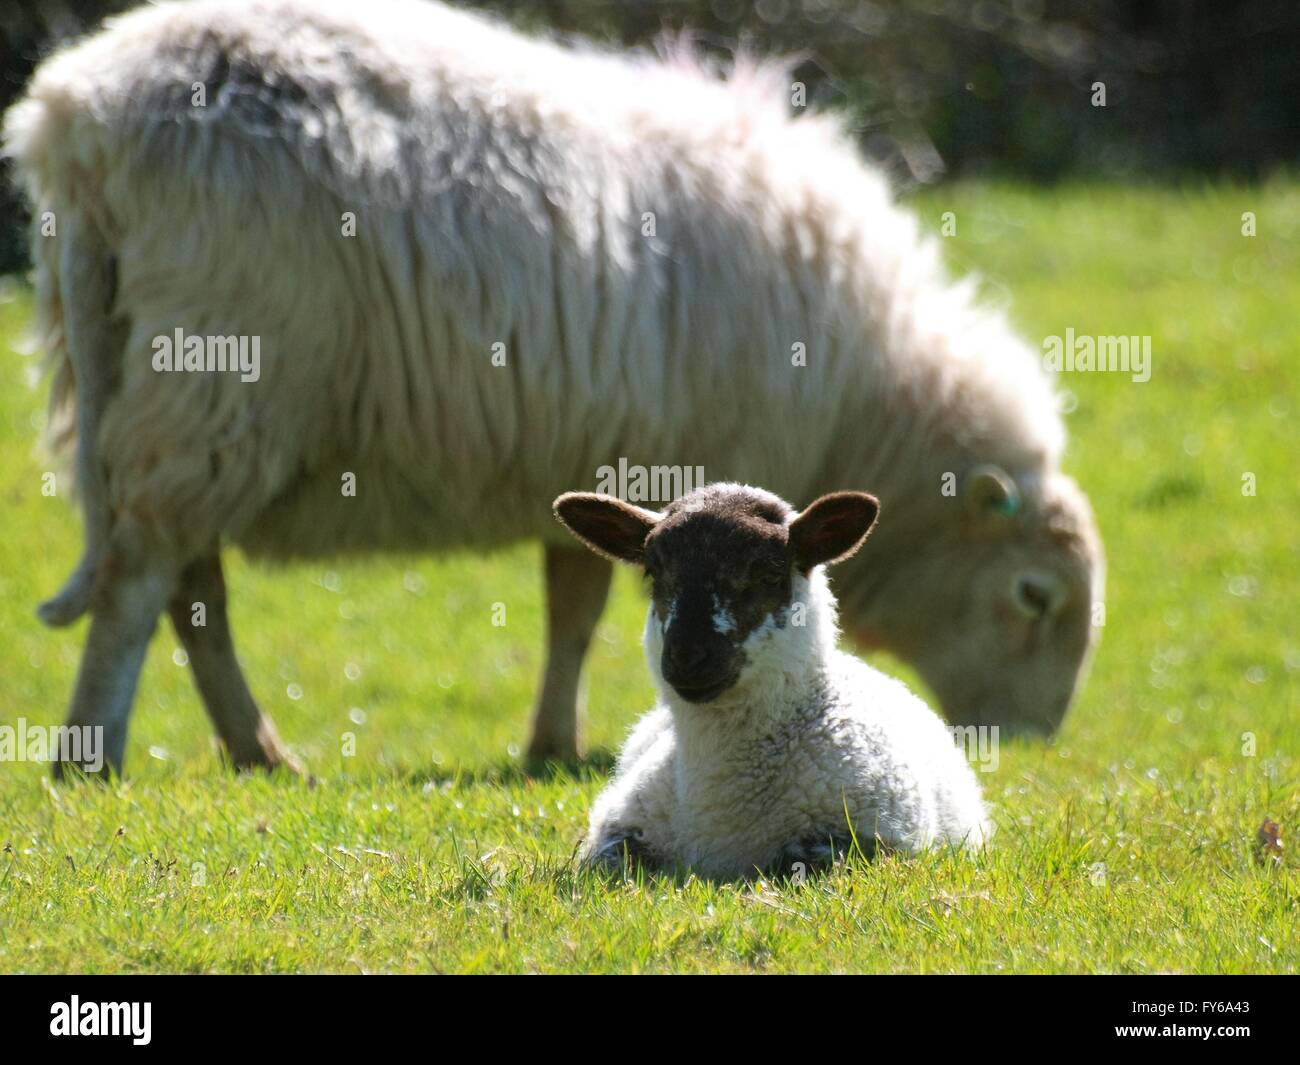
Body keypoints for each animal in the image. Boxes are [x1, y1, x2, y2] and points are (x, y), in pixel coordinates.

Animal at [3, 0, 1102, 774]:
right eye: (1033, 596)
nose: (1030, 746)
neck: (863, 397)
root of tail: (79, 116)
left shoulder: (595, 455)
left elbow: (571, 609)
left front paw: (551, 743)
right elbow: (595, 609)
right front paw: (563, 744)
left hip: (156, 382)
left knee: (190, 589)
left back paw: (255, 751)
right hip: (218, 376)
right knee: (144, 577)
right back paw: (92, 750)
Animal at [555, 483, 991, 880]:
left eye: (769, 572)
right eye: (653, 572)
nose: (687, 657)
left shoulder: (874, 839)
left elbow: (796, 861)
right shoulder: (618, 828)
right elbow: (610, 861)